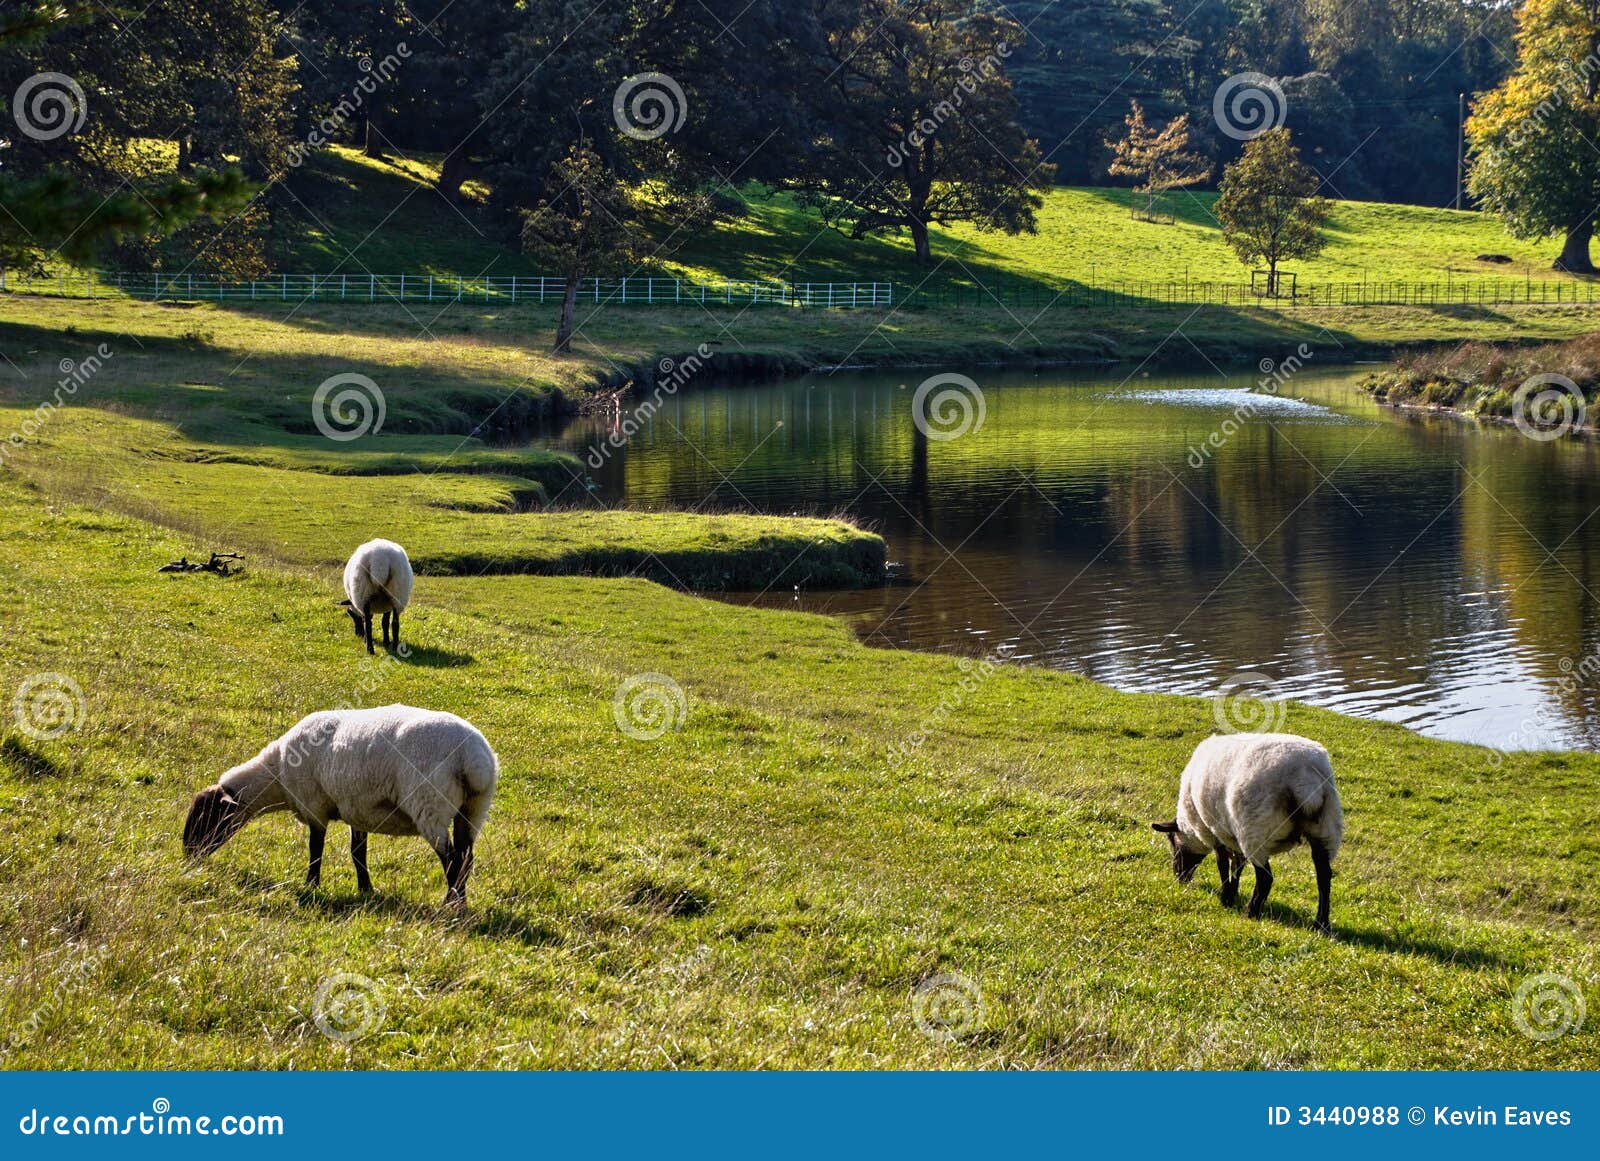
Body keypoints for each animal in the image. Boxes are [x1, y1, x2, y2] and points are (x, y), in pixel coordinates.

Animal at [183, 705, 498, 908]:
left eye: (207, 817)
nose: (188, 855)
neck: (277, 772)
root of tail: (472, 758)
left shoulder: (314, 806)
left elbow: (315, 850)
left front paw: (311, 885)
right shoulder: (358, 811)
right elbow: (358, 853)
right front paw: (366, 890)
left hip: (430, 804)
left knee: (452, 859)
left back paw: (451, 906)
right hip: (473, 809)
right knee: (465, 858)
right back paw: (459, 903)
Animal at [1151, 732, 1343, 933]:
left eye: (1172, 840)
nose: (1179, 877)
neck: (1192, 821)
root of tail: (1305, 778)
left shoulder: (1216, 831)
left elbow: (1222, 864)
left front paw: (1226, 897)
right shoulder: (1233, 835)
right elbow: (1237, 865)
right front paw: (1232, 893)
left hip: (1256, 831)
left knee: (1265, 878)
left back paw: (1251, 913)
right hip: (1326, 828)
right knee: (1324, 876)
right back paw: (1321, 924)